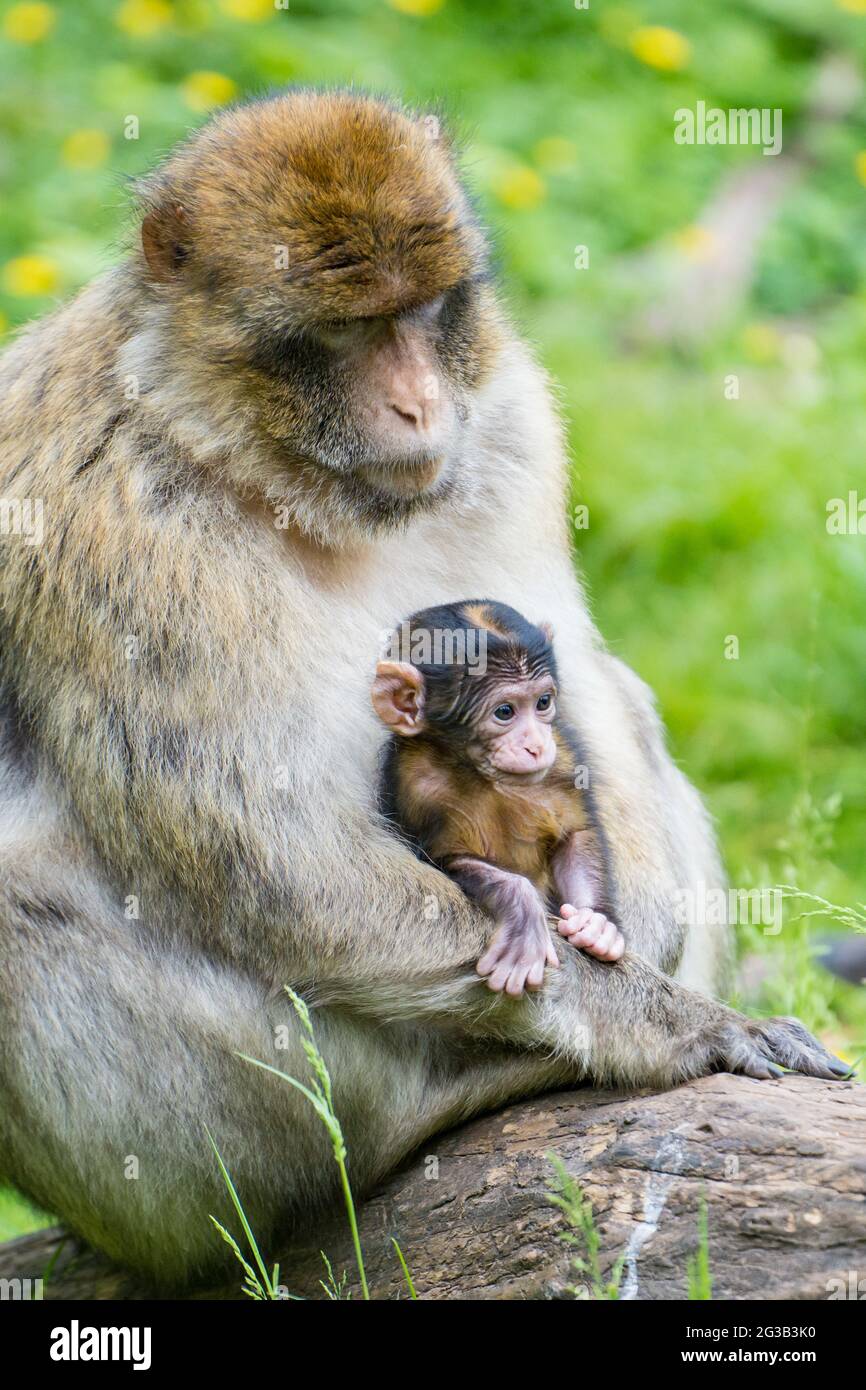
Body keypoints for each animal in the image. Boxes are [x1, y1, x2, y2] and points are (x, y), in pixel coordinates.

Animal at [372, 600, 624, 996]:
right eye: (505, 712)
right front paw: (523, 918)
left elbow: (575, 836)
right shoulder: (415, 784)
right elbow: (445, 860)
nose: (536, 745)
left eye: (543, 702)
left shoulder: (565, 757)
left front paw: (597, 924)